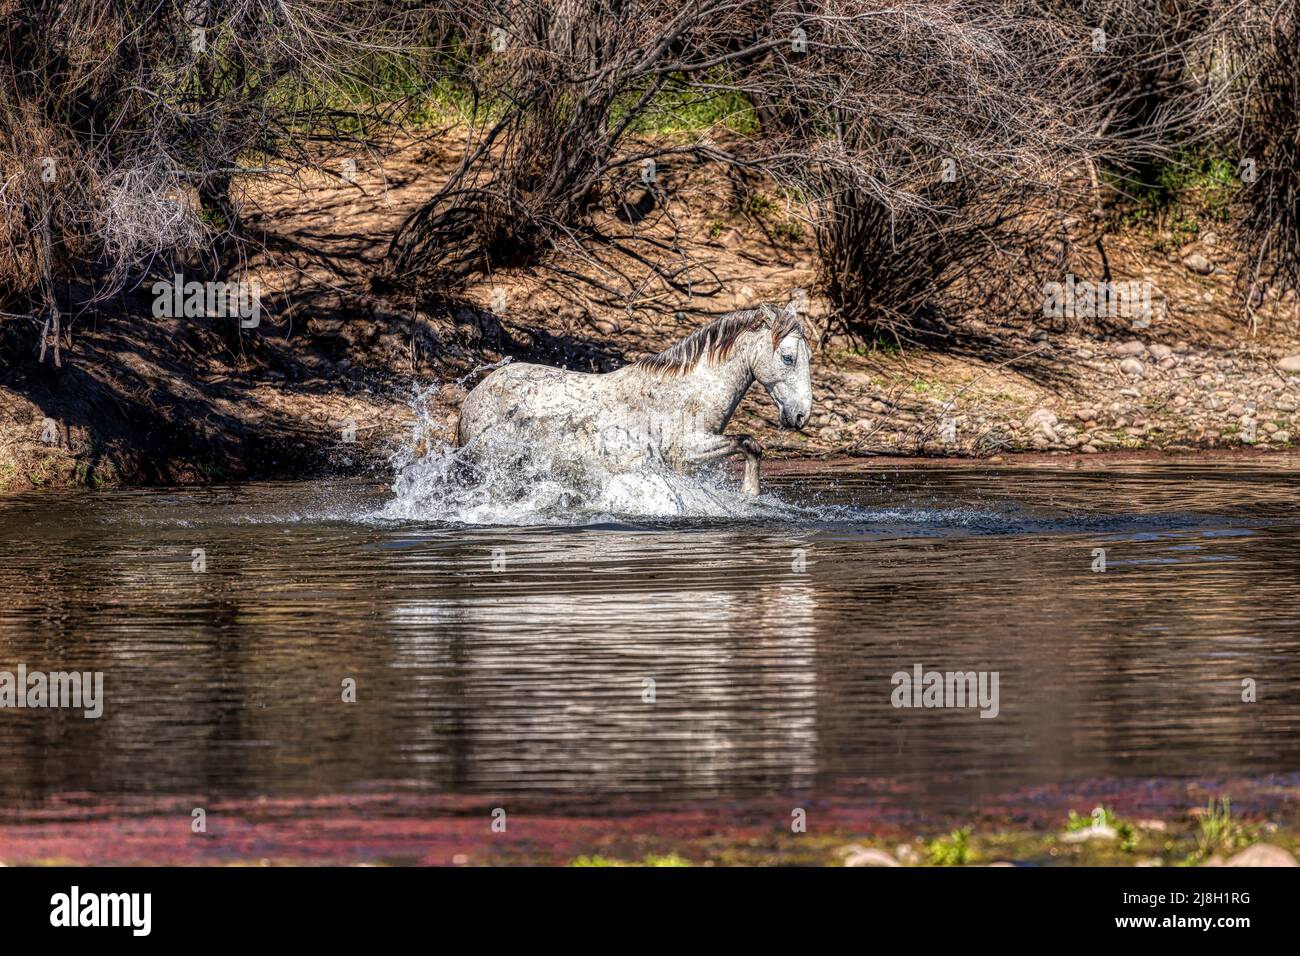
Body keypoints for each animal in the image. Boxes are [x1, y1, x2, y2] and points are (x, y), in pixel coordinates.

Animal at [455, 302, 813, 497]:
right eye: (788, 358)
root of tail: (474, 397)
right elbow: (751, 443)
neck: (688, 393)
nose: (801, 416)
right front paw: (750, 494)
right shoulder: (686, 451)